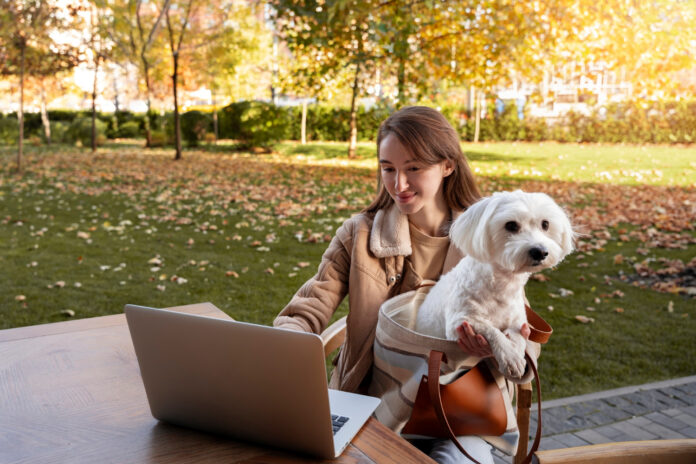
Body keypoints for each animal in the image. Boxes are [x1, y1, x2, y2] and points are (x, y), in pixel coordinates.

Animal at [416, 190, 572, 378]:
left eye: (545, 224)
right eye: (511, 225)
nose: (540, 252)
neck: (502, 284)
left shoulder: (518, 320)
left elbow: (519, 337)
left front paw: (516, 353)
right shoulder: (460, 323)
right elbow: (492, 330)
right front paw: (509, 356)